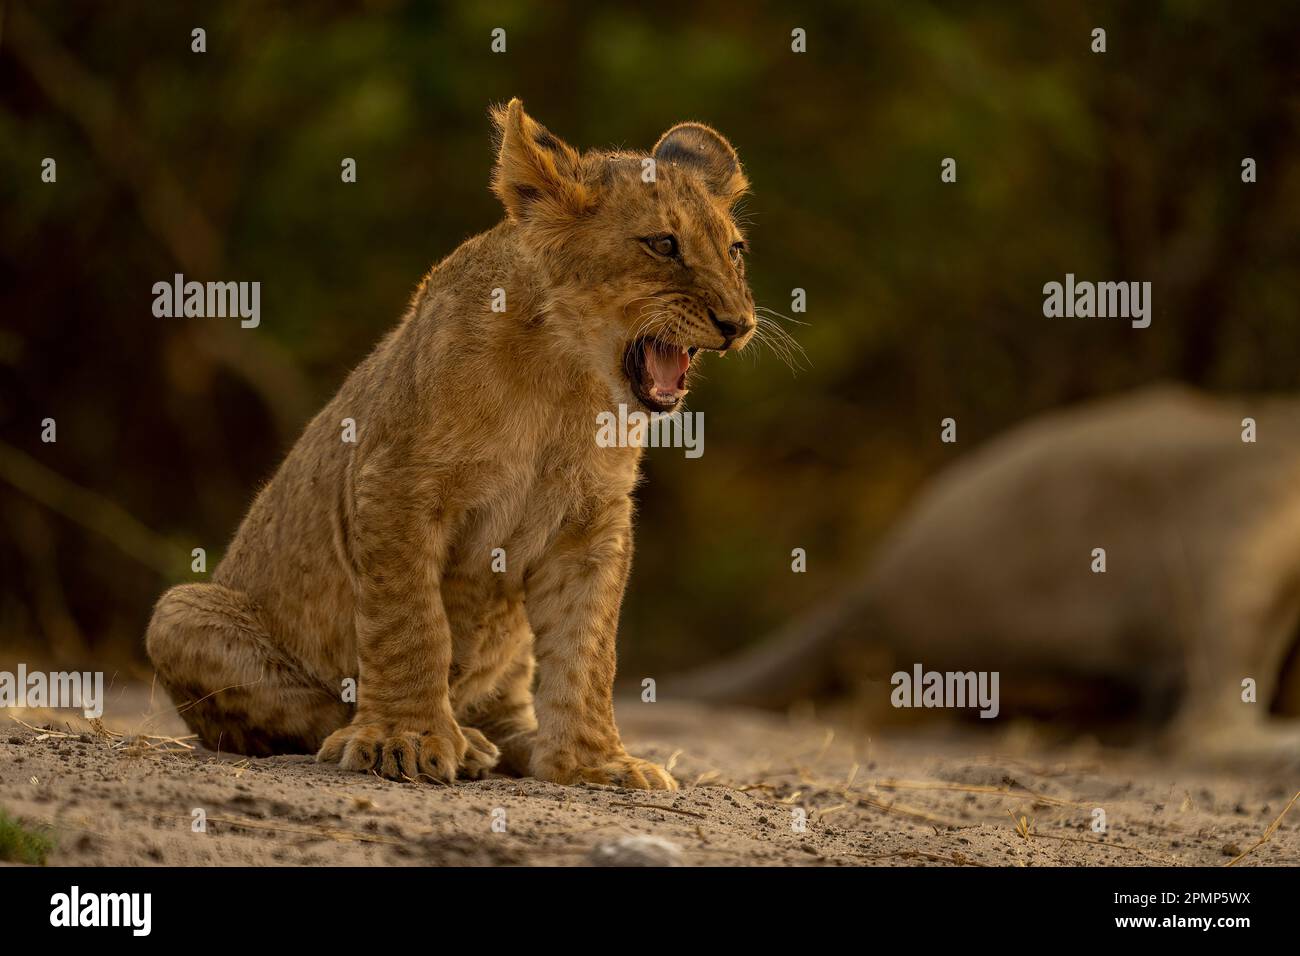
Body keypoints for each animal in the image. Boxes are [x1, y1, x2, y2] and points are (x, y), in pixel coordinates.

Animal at [146, 99, 757, 789]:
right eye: (663, 244)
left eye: (735, 251)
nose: (739, 324)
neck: (566, 384)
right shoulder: (393, 483)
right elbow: (412, 625)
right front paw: (404, 740)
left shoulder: (594, 524)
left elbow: (587, 649)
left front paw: (595, 763)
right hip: (180, 611)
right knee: (310, 710)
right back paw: (449, 742)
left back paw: (503, 743)